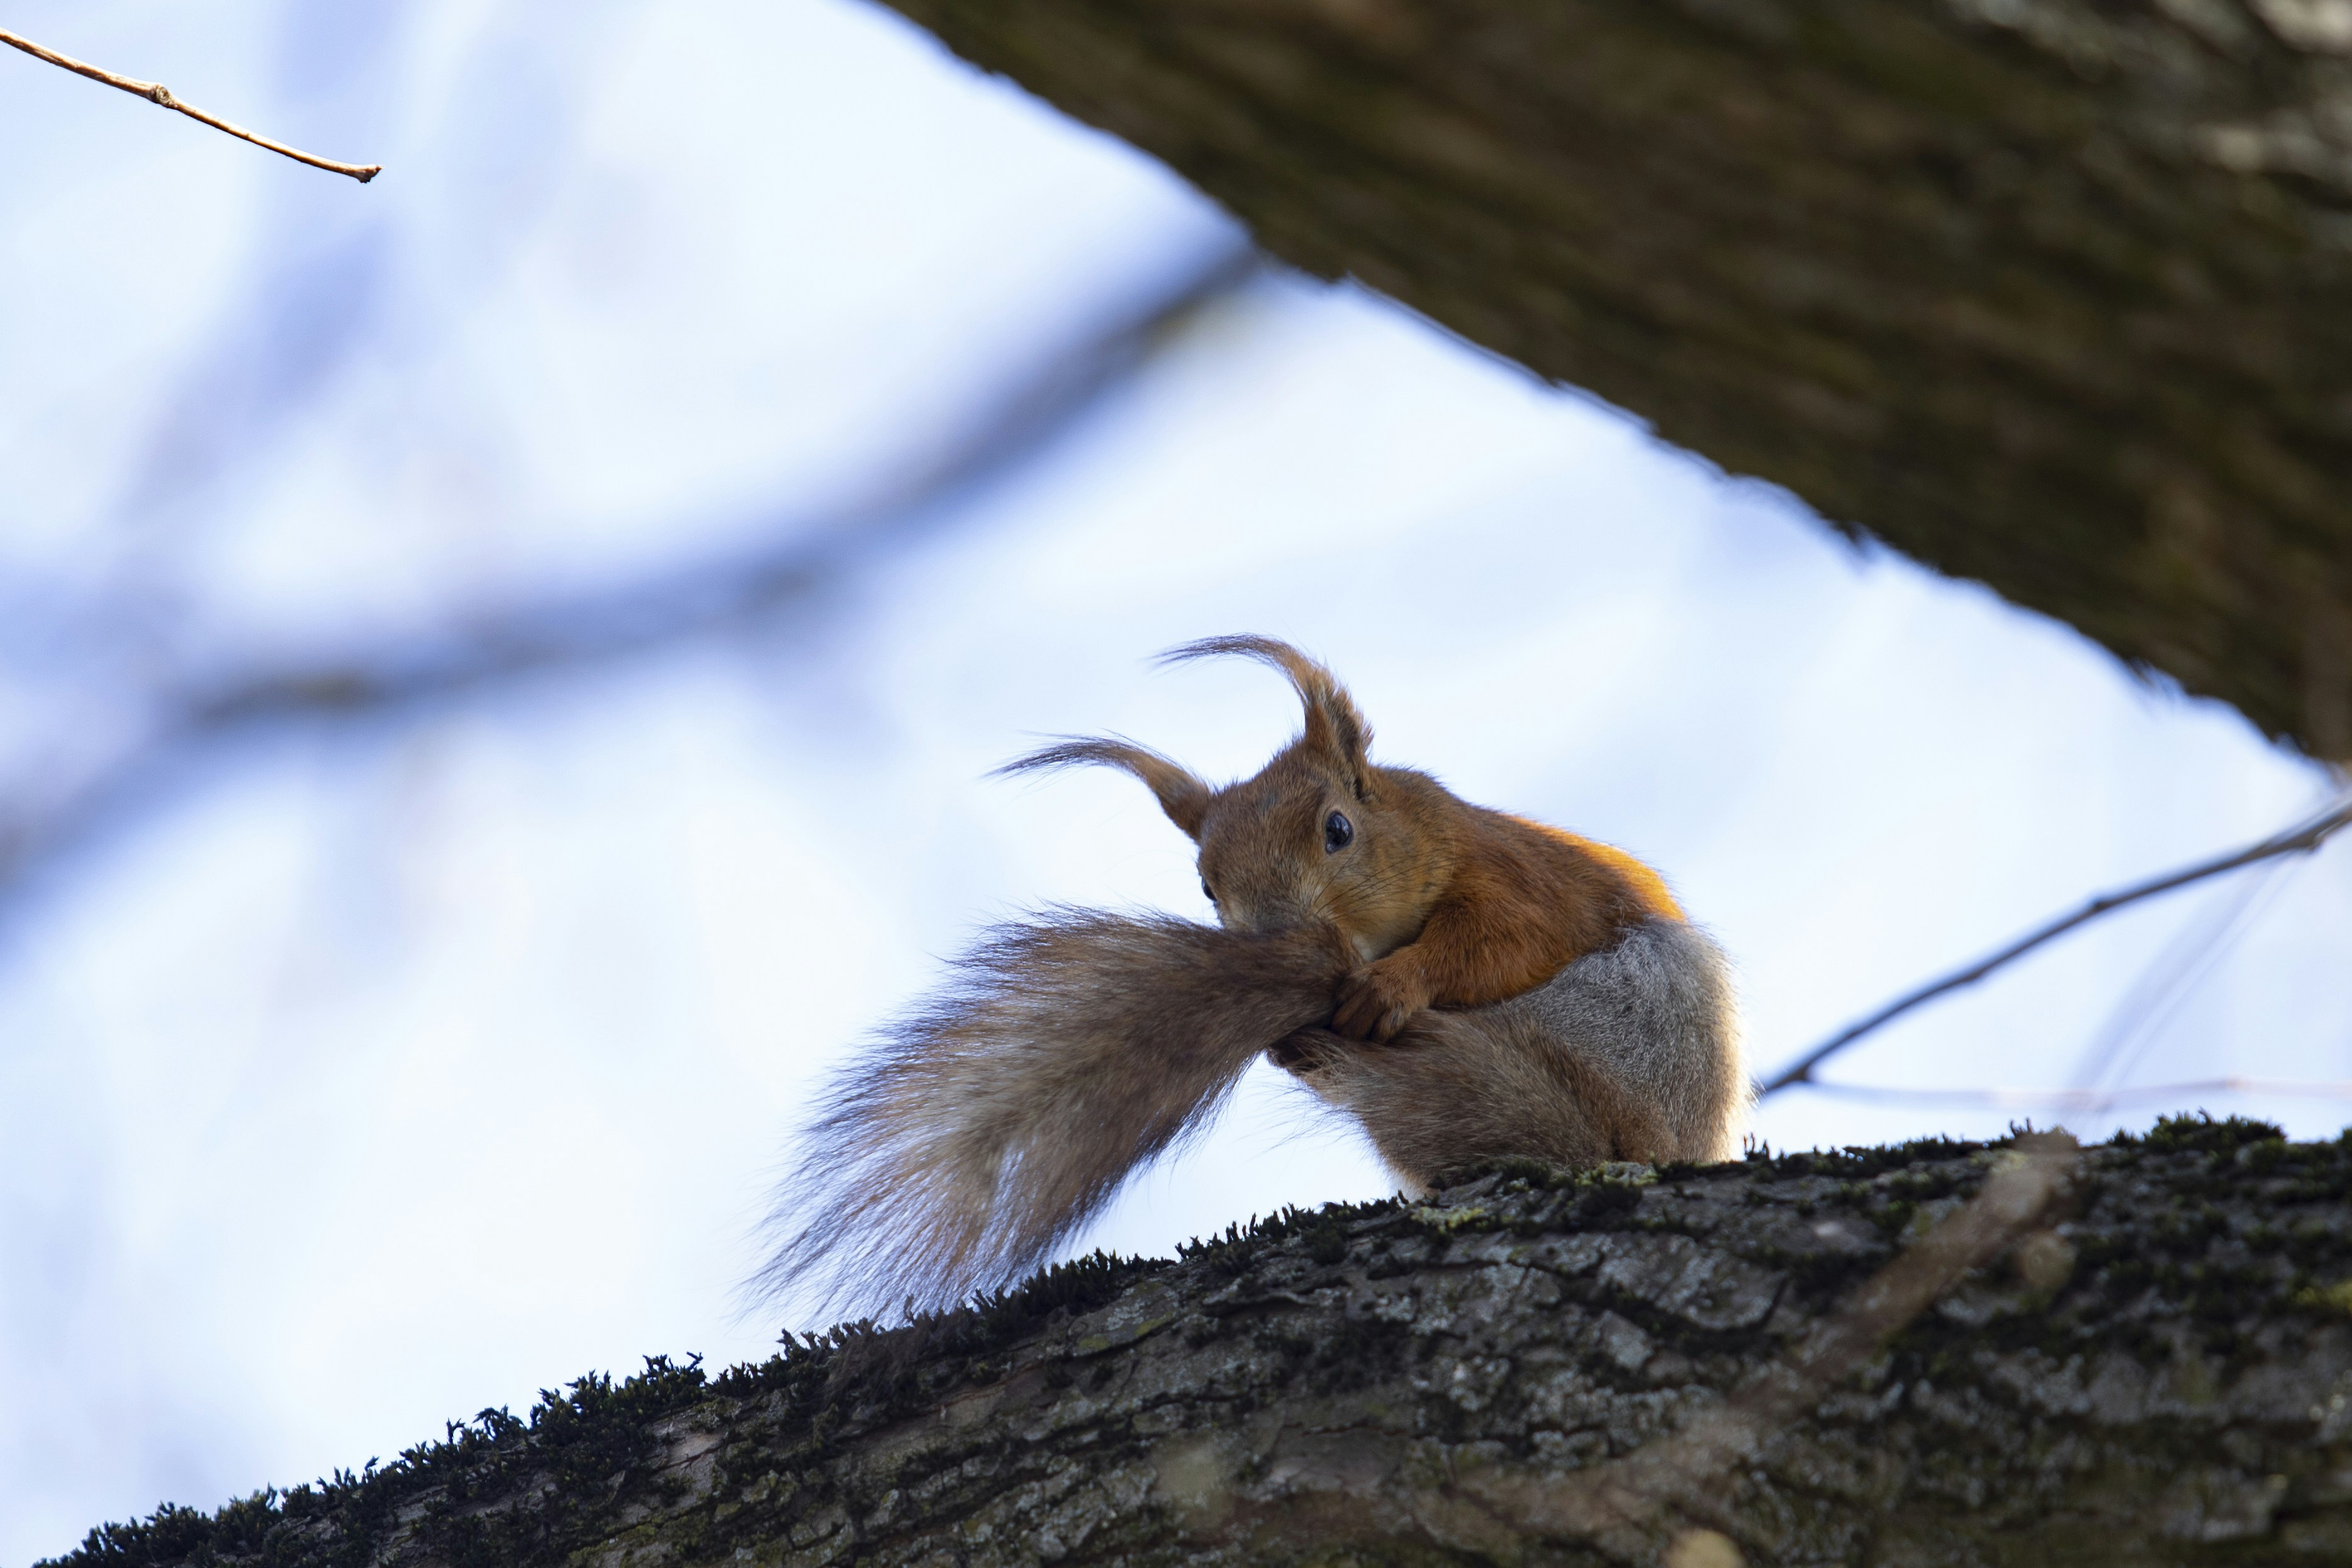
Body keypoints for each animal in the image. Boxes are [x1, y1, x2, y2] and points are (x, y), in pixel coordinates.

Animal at [752, 637, 1747, 1317]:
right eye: (1205, 883)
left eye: (1338, 830)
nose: (1282, 940)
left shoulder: (1519, 880)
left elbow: (1501, 942)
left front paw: (1397, 983)